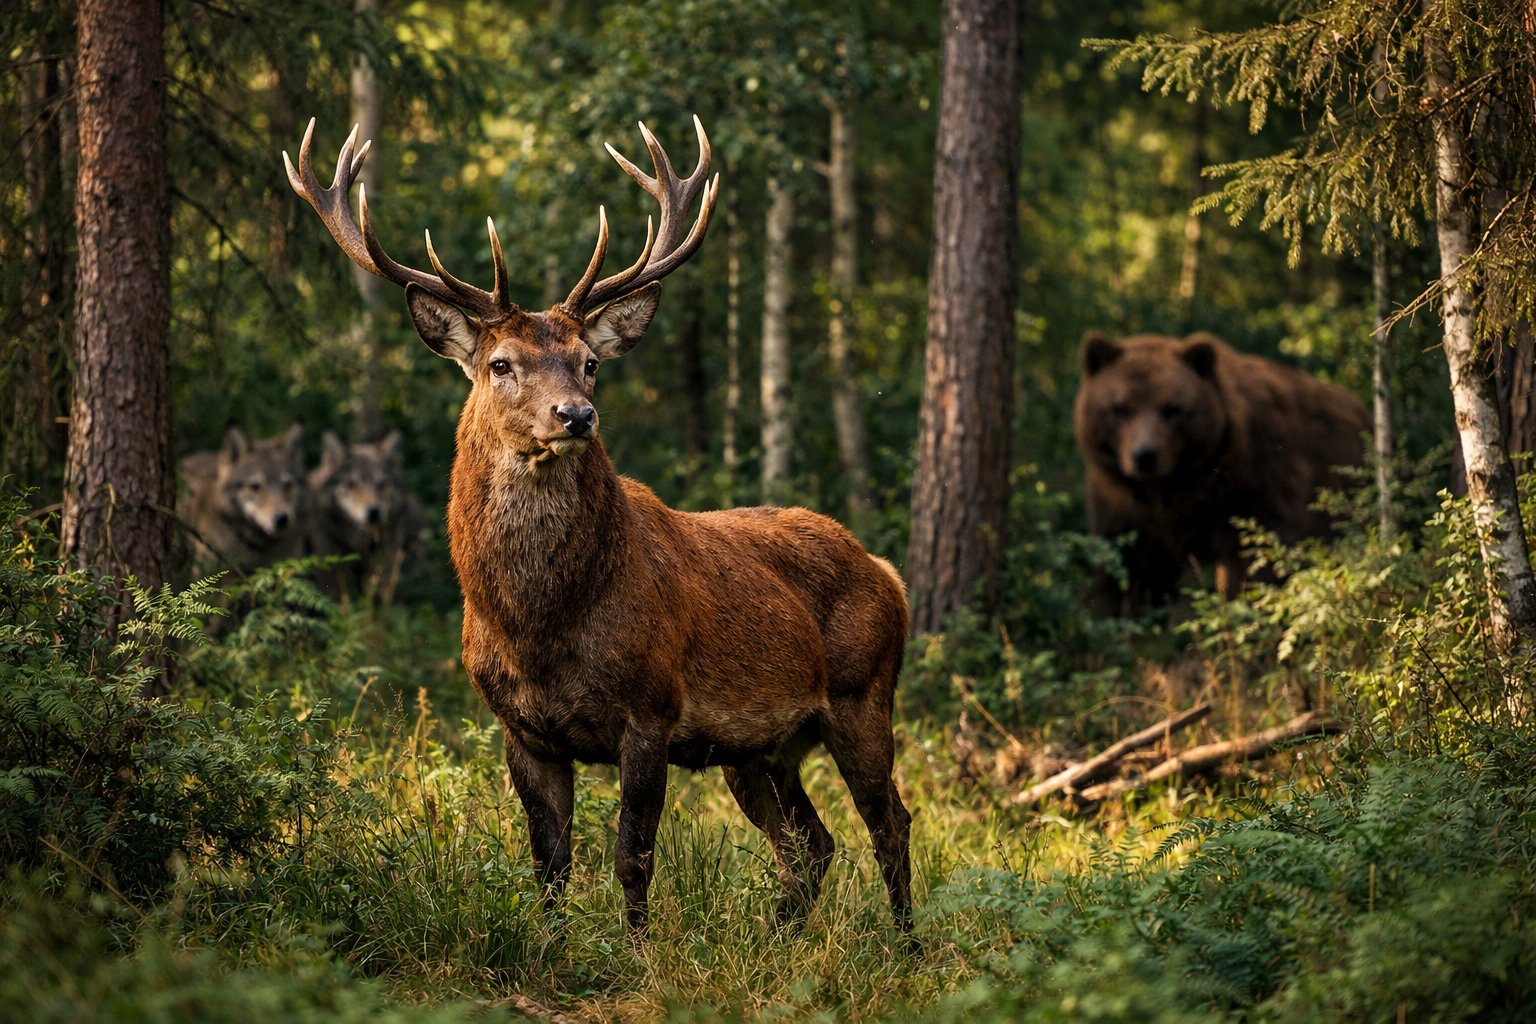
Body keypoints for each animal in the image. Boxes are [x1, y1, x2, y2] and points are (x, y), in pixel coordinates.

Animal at [284, 116, 913, 938]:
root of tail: (887, 572)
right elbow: (549, 863)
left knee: (889, 822)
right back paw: (779, 939)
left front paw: (640, 952)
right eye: (500, 364)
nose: (575, 415)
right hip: (760, 749)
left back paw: (907, 946)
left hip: (863, 693)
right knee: (812, 843)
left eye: (589, 362)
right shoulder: (521, 730)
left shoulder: (650, 710)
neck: (539, 625)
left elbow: (632, 856)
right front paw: (554, 946)